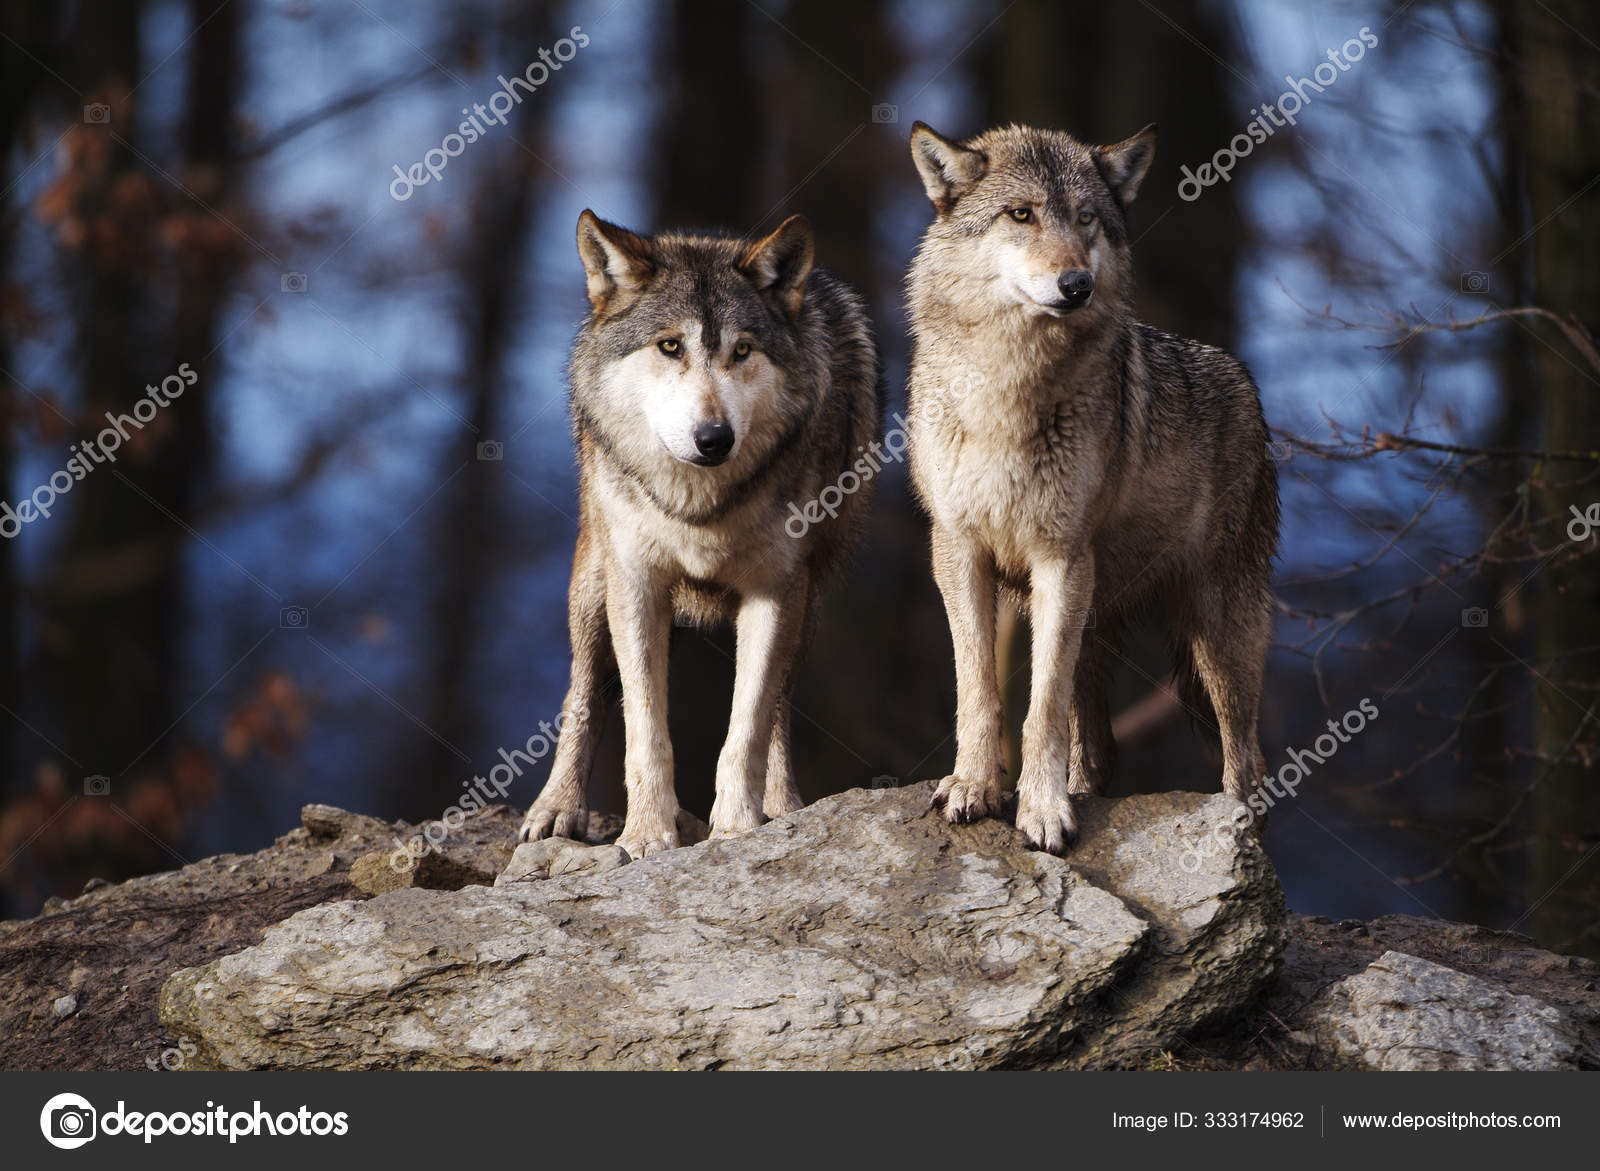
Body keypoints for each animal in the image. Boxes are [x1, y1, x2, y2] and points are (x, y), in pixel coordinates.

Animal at [518, 210, 881, 859]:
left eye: (742, 351)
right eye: (670, 346)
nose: (715, 438)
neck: (699, 507)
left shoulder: (776, 590)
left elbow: (749, 724)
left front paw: (737, 828)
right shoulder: (637, 585)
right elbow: (645, 729)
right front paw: (646, 835)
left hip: (809, 600)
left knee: (780, 704)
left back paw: (782, 806)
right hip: (592, 584)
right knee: (582, 694)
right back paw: (556, 809)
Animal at [905, 121, 1279, 853]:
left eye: (1086, 221)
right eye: (1021, 215)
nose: (1075, 283)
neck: (1006, 388)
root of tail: (1247, 382)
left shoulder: (1060, 559)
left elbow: (1040, 708)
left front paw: (1043, 811)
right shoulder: (959, 550)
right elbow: (979, 690)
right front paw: (973, 788)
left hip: (1218, 629)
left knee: (1247, 762)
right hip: (1104, 628)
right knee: (1101, 753)